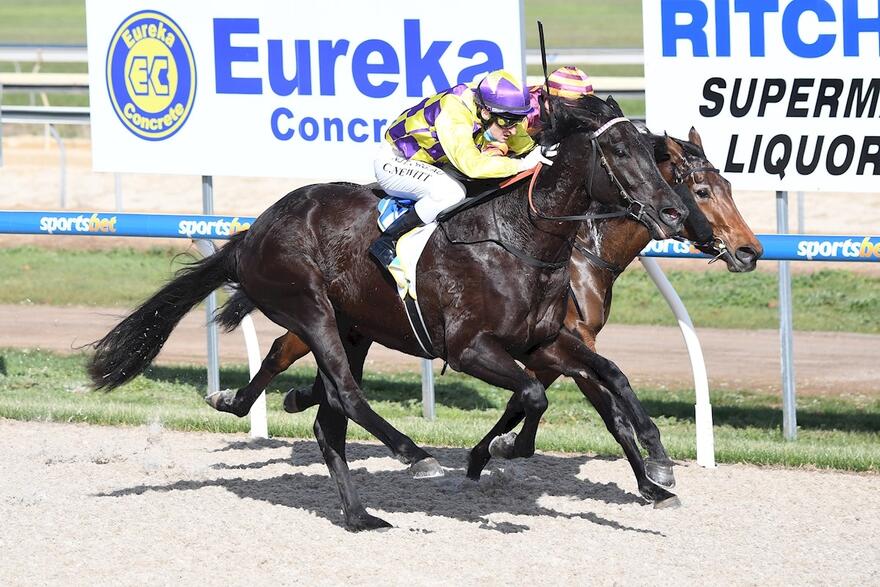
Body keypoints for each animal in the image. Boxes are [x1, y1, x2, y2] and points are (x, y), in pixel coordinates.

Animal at [88, 94, 688, 531]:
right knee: (347, 395)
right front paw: (500, 448)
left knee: (329, 416)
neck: (521, 240)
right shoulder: (470, 348)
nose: (673, 212)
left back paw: (357, 512)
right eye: (621, 154)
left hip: (354, 328)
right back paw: (412, 454)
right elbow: (534, 393)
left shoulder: (545, 340)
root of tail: (252, 233)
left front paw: (658, 461)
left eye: (652, 152)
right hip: (311, 310)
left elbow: (611, 374)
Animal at [207, 125, 761, 498]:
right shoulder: (544, 344)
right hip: (324, 311)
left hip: (356, 321)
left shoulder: (554, 344)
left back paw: (286, 397)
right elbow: (587, 408)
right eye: (703, 190)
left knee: (311, 365)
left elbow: (575, 390)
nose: (750, 250)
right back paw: (239, 399)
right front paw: (649, 477)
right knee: (283, 351)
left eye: (731, 187)